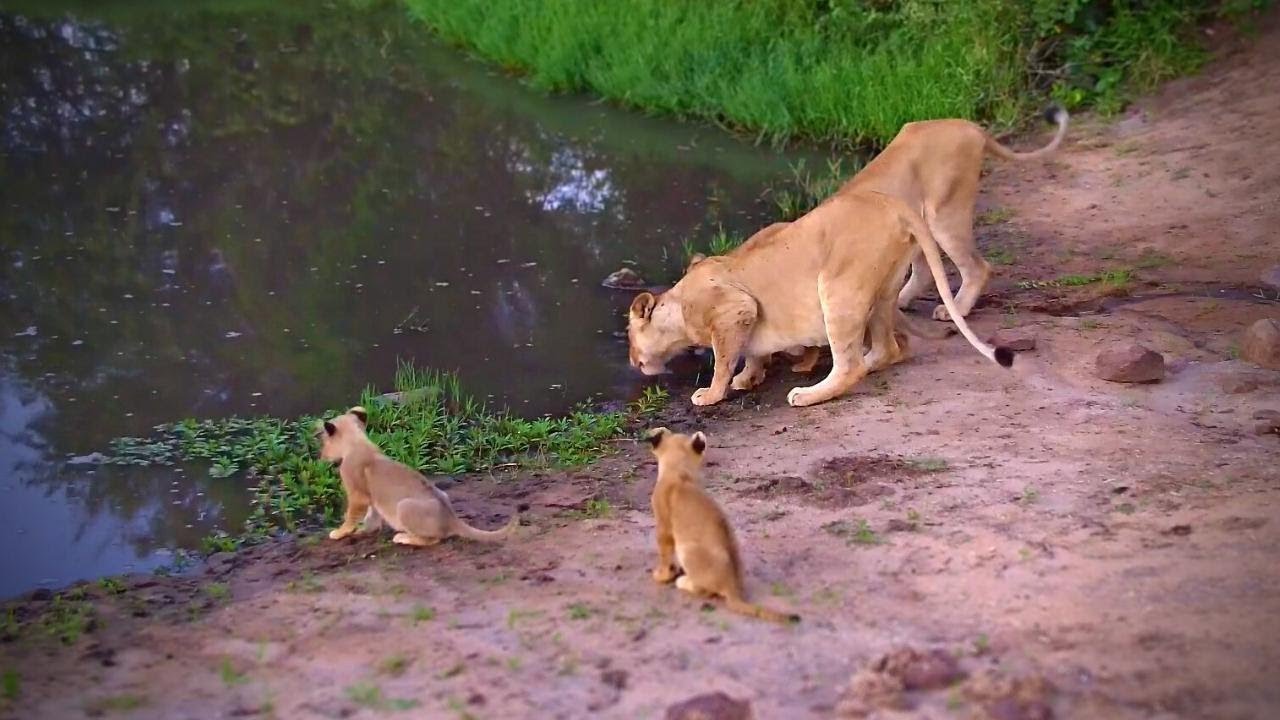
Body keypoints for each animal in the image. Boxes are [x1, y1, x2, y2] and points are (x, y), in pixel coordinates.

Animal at [317, 407, 519, 545]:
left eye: (323, 441)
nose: (321, 457)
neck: (357, 442)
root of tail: (452, 519)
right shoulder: (371, 497)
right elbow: (371, 517)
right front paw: (364, 530)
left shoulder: (357, 495)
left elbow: (351, 516)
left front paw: (340, 532)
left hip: (404, 507)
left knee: (433, 539)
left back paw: (402, 537)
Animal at [628, 190, 1013, 407]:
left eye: (630, 336)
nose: (632, 361)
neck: (677, 307)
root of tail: (890, 204)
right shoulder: (745, 317)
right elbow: (752, 354)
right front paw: (749, 378)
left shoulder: (733, 308)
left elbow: (723, 361)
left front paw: (711, 394)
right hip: (884, 292)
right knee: (887, 347)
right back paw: (870, 361)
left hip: (837, 289)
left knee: (850, 364)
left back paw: (808, 394)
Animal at [646, 427, 799, 623]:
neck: (680, 473)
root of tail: (732, 588)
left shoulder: (664, 527)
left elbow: (664, 555)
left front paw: (662, 575)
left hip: (687, 550)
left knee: (704, 589)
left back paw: (683, 581)